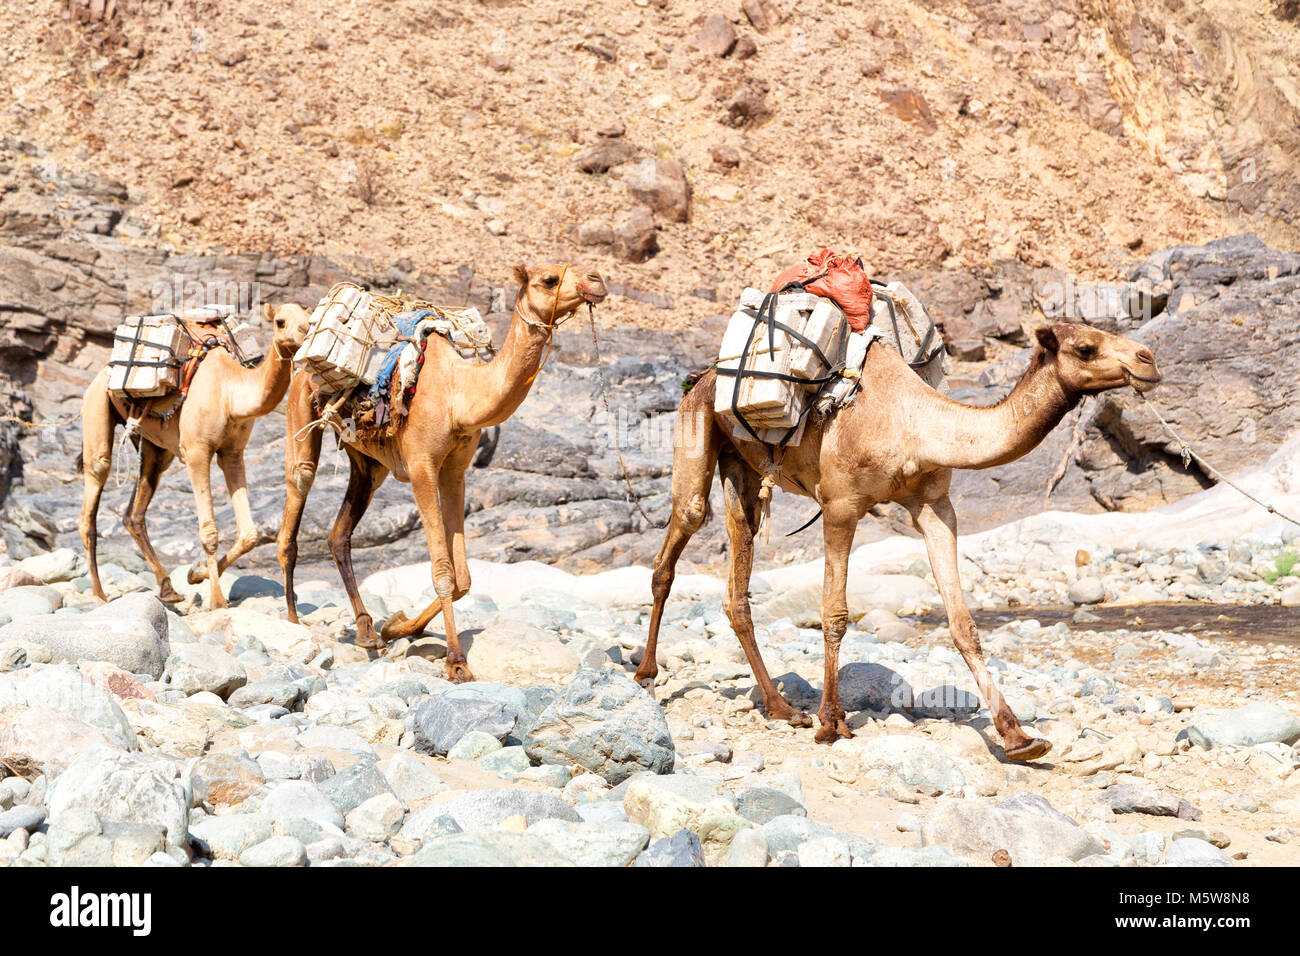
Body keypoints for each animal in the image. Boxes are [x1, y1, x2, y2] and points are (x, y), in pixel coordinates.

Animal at [79, 303, 313, 608]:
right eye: (280, 321)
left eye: (309, 318)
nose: (306, 333)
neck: (230, 392)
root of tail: (101, 375)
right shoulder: (196, 451)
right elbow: (209, 531)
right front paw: (217, 600)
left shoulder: (232, 452)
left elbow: (249, 534)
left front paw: (196, 573)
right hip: (97, 409)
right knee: (92, 498)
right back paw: (99, 593)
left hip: (155, 449)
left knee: (134, 513)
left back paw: (168, 588)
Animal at [278, 262, 608, 674]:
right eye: (548, 279)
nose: (597, 280)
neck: (458, 396)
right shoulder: (422, 467)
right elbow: (442, 571)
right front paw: (455, 662)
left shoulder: (455, 471)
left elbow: (463, 577)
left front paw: (397, 626)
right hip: (300, 407)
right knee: (296, 497)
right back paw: (292, 620)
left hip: (368, 461)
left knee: (339, 533)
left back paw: (367, 631)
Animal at [638, 322, 1161, 761]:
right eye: (1086, 347)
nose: (1148, 359)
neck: (915, 425)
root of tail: (702, 379)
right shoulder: (840, 504)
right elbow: (834, 614)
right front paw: (831, 724)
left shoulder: (935, 506)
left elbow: (963, 622)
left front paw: (1018, 736)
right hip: (695, 430)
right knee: (678, 538)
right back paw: (646, 675)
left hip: (742, 465)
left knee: (737, 581)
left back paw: (782, 707)